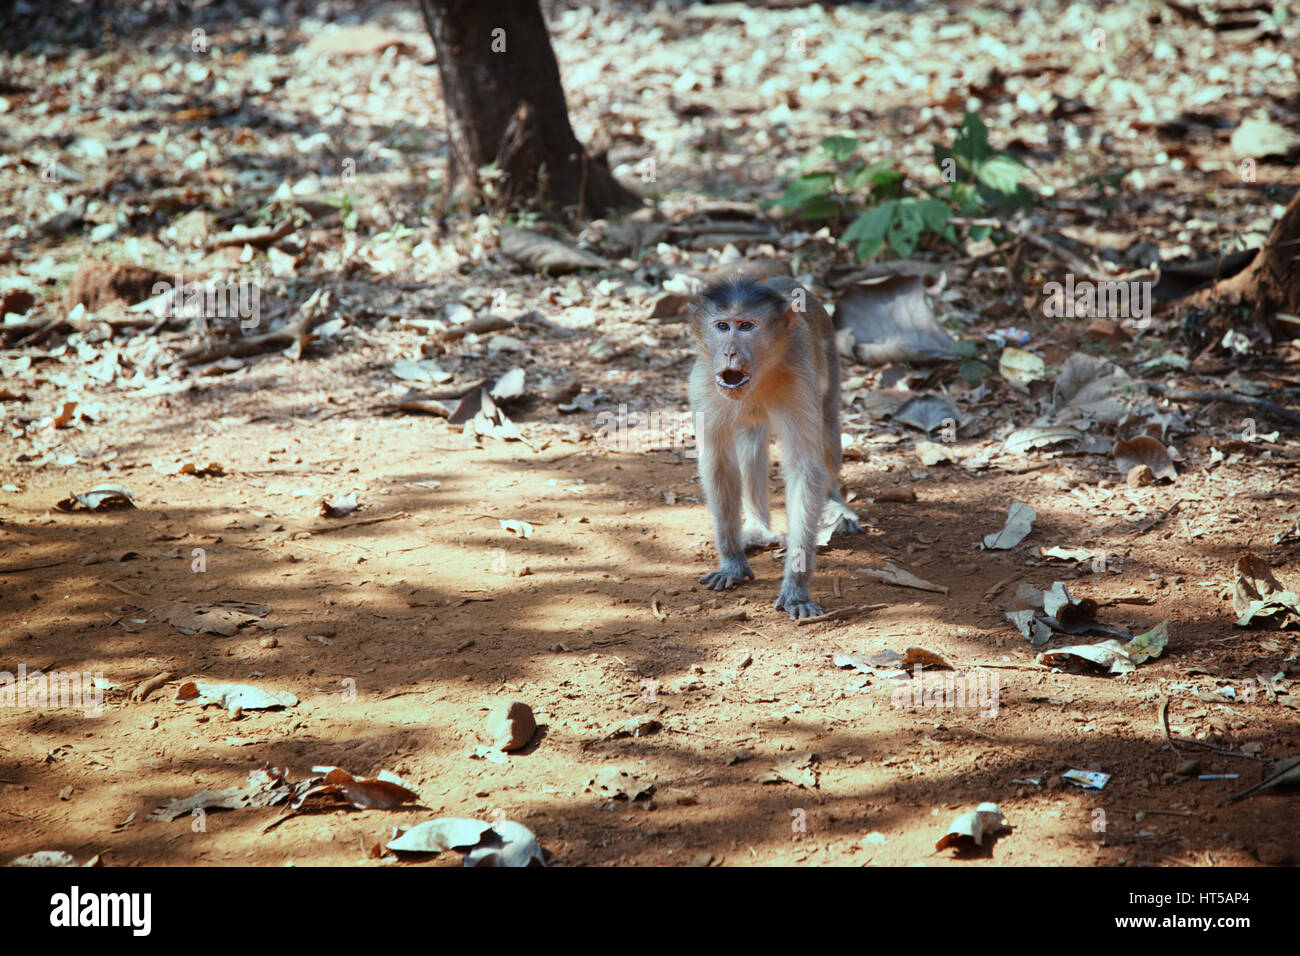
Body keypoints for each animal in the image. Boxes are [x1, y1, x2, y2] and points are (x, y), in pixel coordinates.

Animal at [688, 275, 860, 620]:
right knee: (751, 441)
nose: (729, 352)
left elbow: (805, 471)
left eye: (746, 326)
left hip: (830, 359)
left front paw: (796, 586)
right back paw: (758, 527)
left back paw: (837, 504)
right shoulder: (703, 385)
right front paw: (732, 562)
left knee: (827, 432)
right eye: (722, 326)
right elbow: (718, 465)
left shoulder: (799, 384)